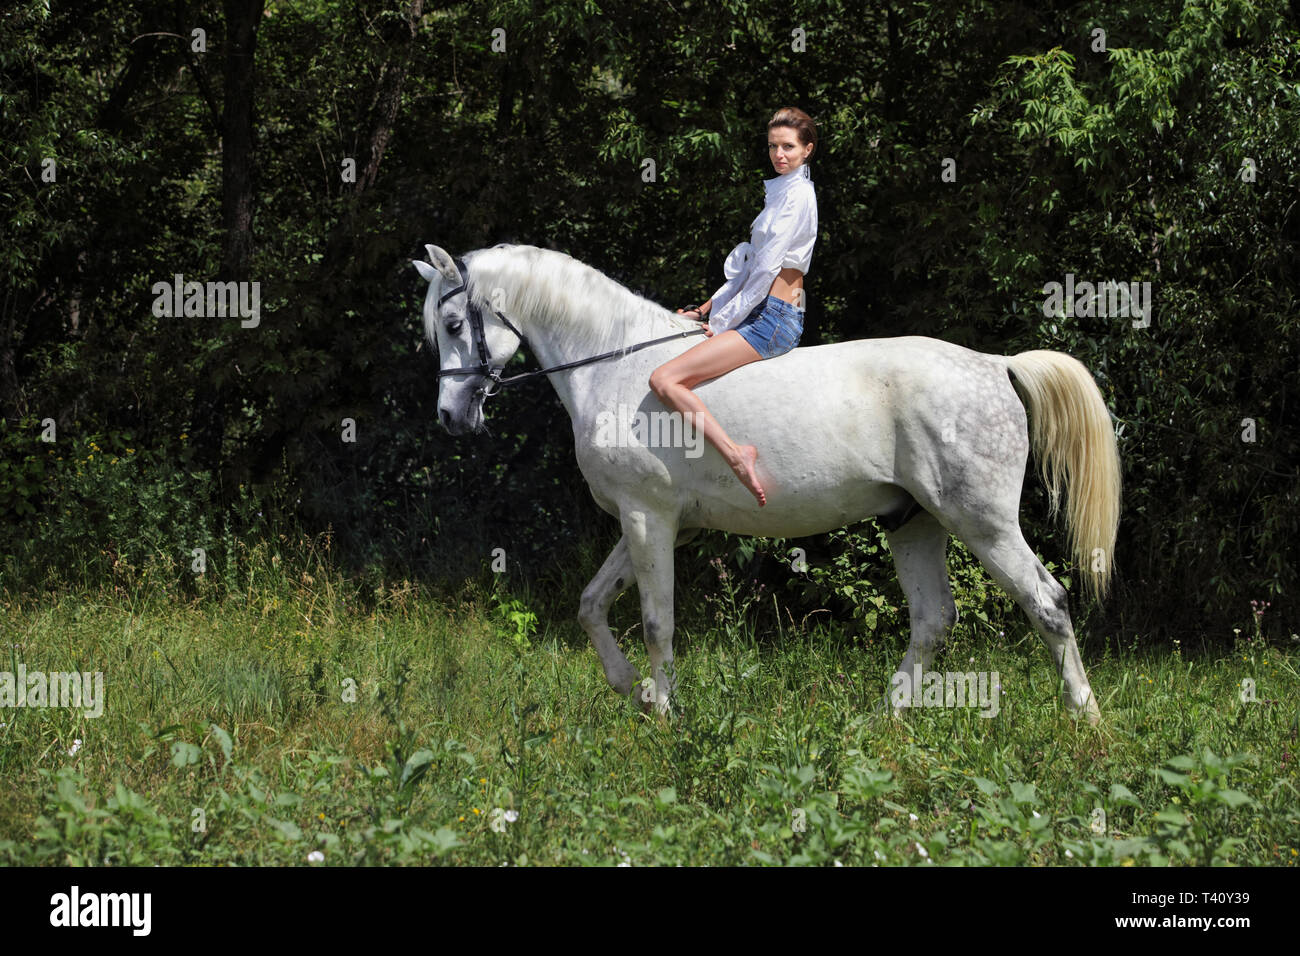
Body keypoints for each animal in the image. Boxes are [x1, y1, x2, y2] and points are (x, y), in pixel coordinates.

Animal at [412, 243, 1120, 723]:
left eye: (453, 325)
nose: (449, 416)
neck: (614, 364)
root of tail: (996, 365)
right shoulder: (655, 523)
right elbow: (591, 606)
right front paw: (634, 690)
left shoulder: (648, 517)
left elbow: (656, 621)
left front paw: (663, 713)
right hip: (913, 521)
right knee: (933, 619)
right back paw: (880, 719)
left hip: (982, 522)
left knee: (1047, 602)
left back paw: (1085, 718)